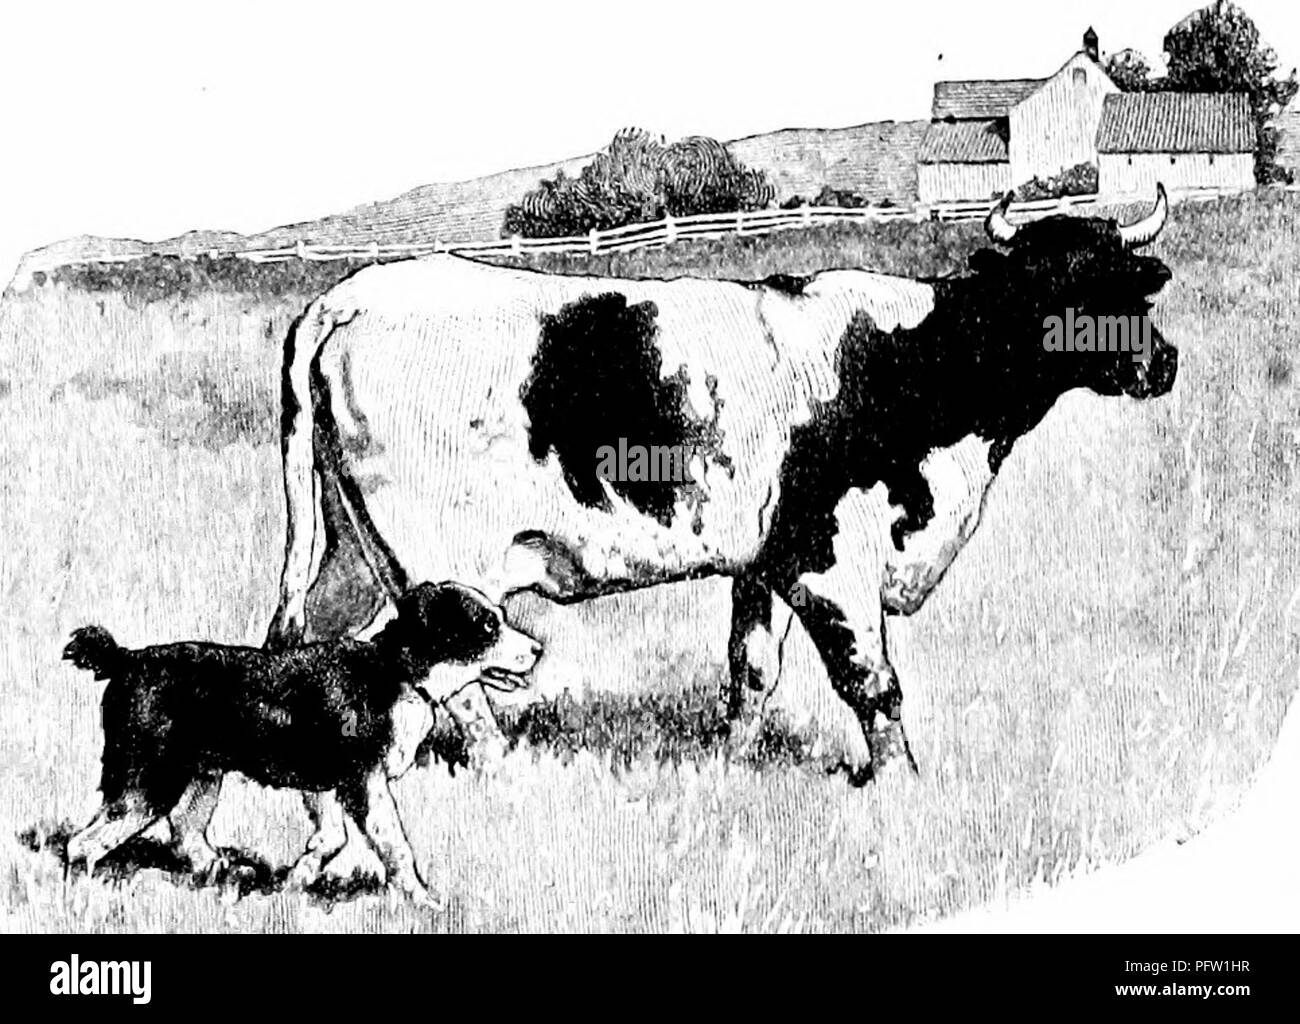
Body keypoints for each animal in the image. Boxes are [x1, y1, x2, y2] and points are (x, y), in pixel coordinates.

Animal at [265, 185, 1176, 789]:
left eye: (1130, 283)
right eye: (1061, 289)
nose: (1162, 362)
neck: (907, 364)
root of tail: (346, 296)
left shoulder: (763, 563)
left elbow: (751, 670)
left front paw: (731, 764)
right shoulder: (828, 560)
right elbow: (871, 681)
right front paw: (903, 787)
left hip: (349, 553)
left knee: (308, 637)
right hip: (431, 566)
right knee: (458, 682)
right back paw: (502, 773)